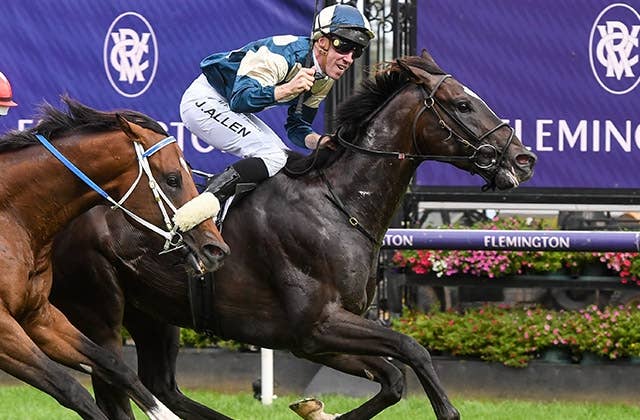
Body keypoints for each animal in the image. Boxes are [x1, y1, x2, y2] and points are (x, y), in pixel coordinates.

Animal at [0, 97, 229, 420]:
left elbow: (116, 368)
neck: (12, 216)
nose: (215, 248)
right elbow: (70, 388)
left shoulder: (38, 315)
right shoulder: (4, 328)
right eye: (172, 178)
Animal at [50, 51, 537, 420]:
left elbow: (393, 379)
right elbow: (411, 349)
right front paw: (446, 409)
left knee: (161, 386)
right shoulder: (316, 326)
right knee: (116, 387)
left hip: (154, 311)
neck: (338, 206)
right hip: (99, 309)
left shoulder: (314, 341)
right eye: (463, 105)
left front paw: (319, 410)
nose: (523, 158)